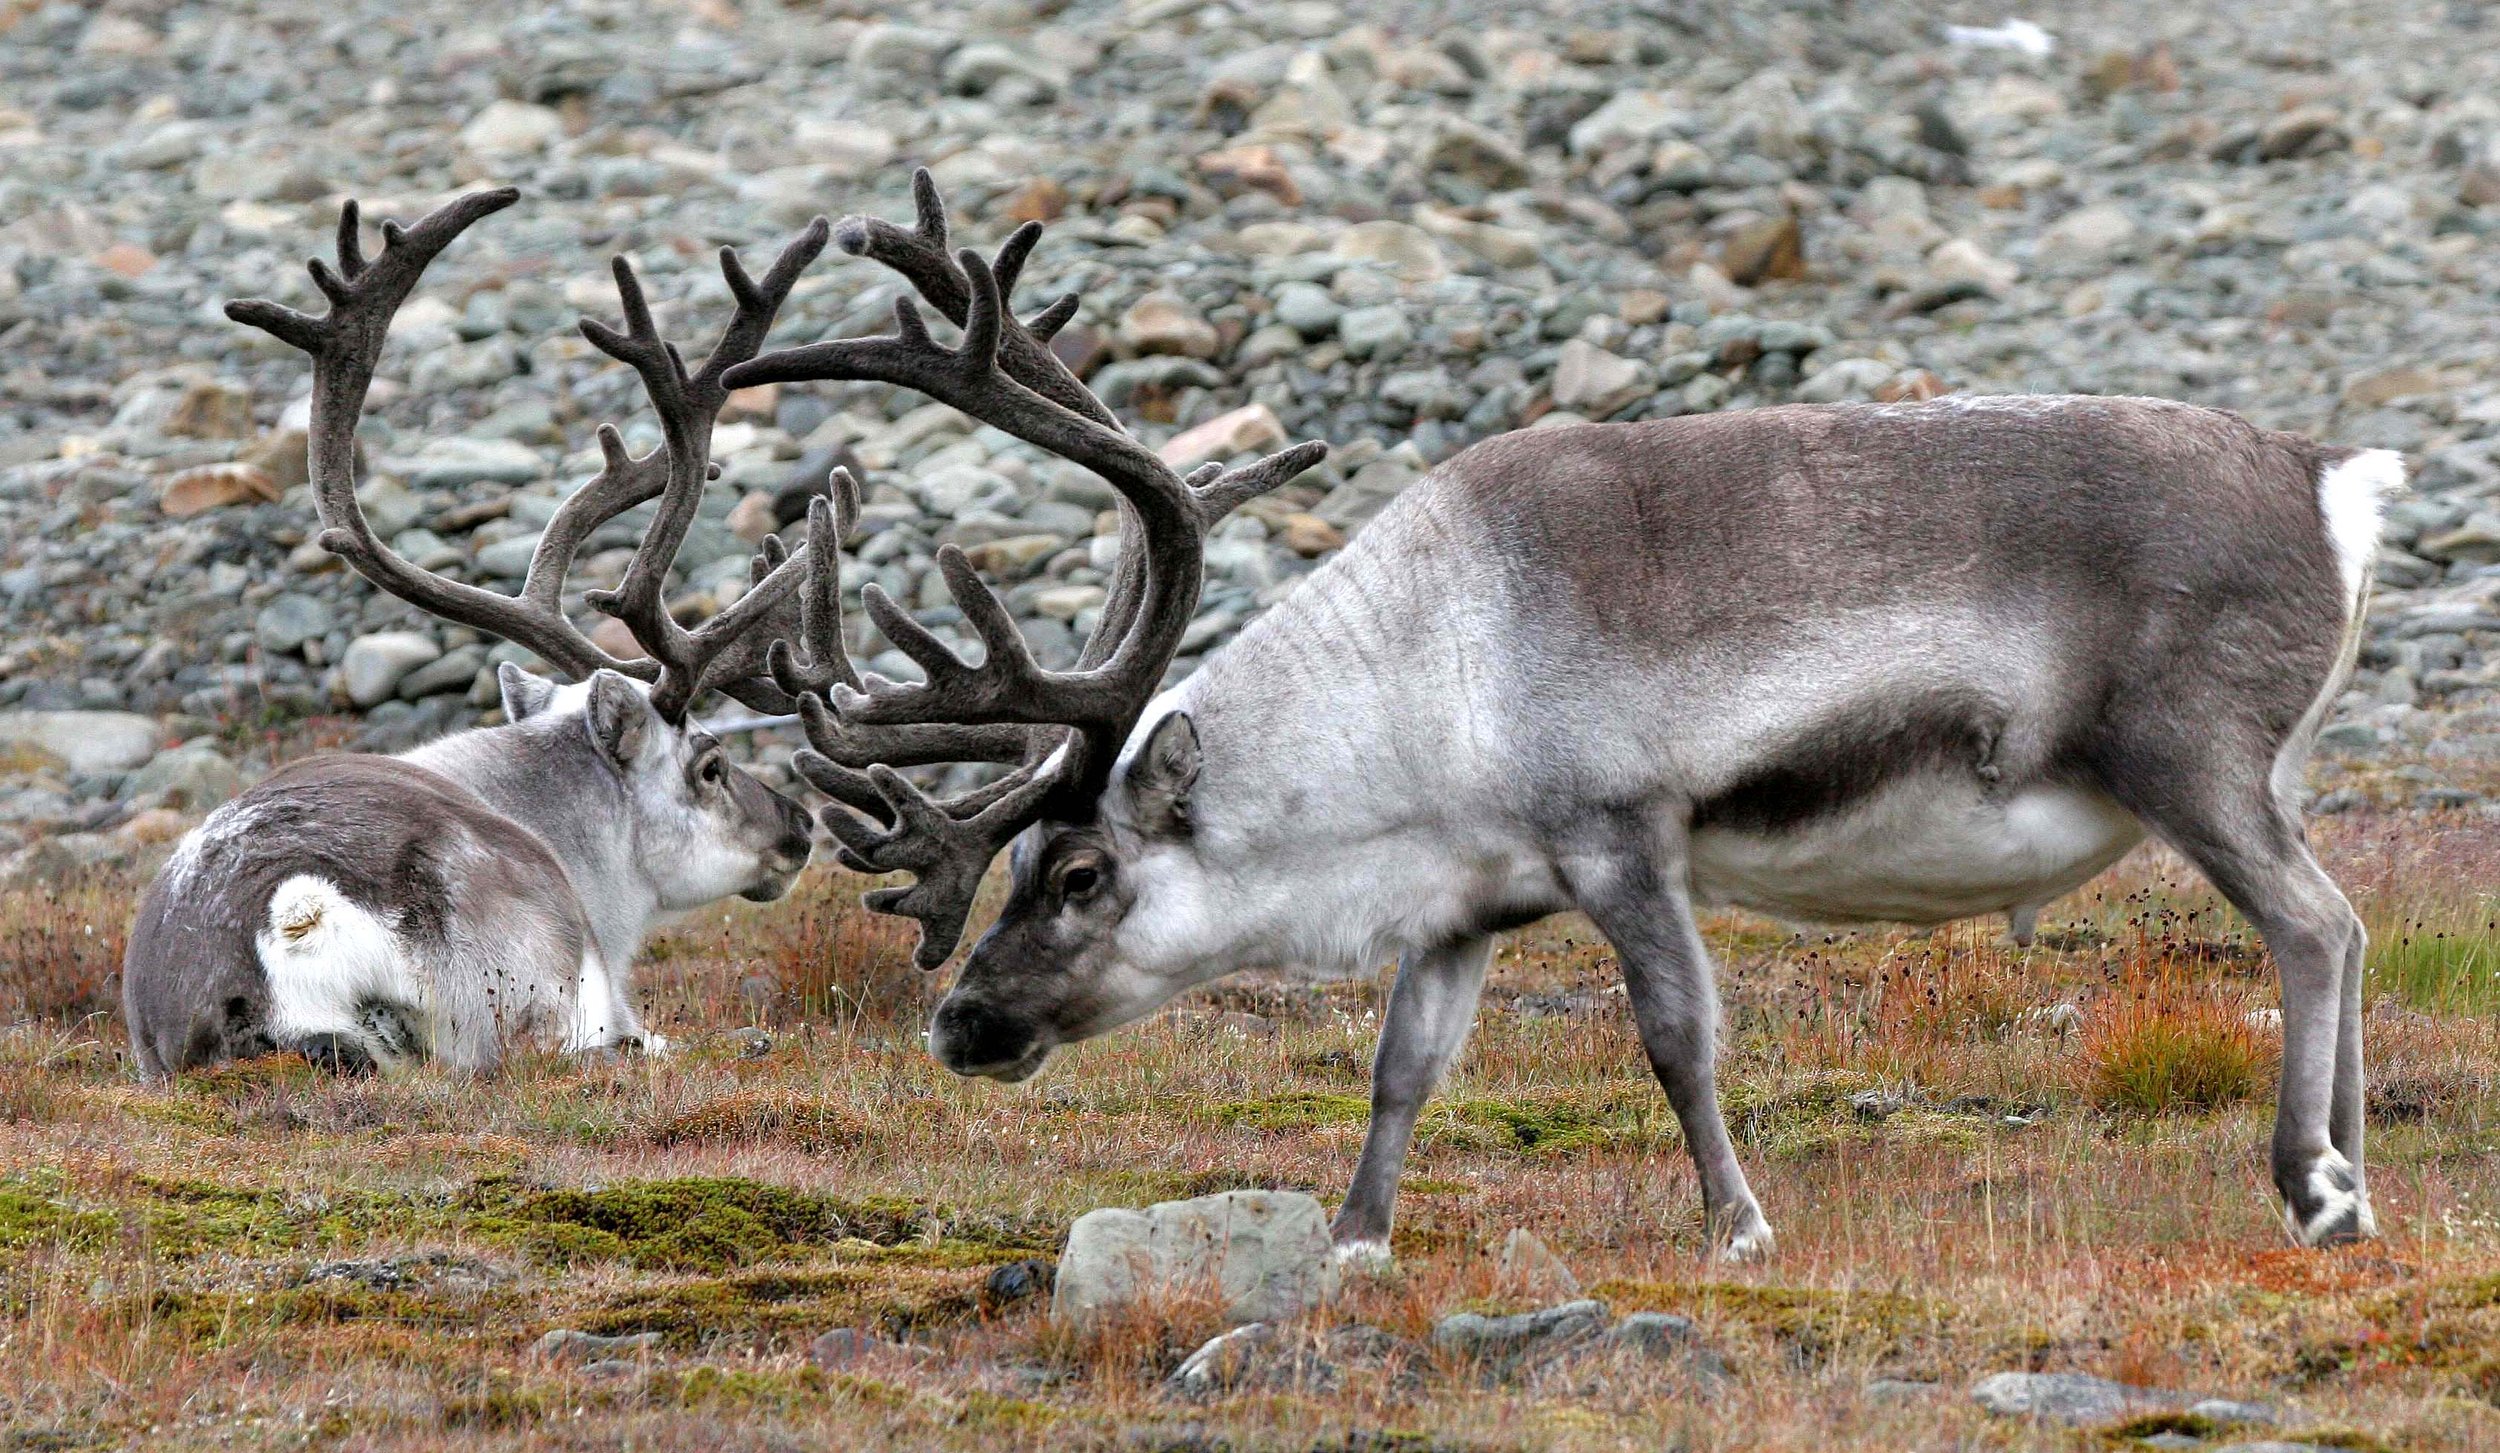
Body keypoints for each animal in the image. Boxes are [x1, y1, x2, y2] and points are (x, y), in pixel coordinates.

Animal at [728, 173, 2397, 1261]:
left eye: (1081, 874)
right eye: (1014, 869)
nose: (959, 1022)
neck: (1427, 677)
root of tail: (2335, 477)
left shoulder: (1621, 835)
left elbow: (1677, 1034)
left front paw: (1737, 1225)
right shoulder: (1468, 902)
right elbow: (1404, 1065)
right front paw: (1355, 1238)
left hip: (2189, 755)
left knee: (2314, 925)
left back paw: (2310, 1187)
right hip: (2266, 772)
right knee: (2347, 924)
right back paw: (2358, 1177)